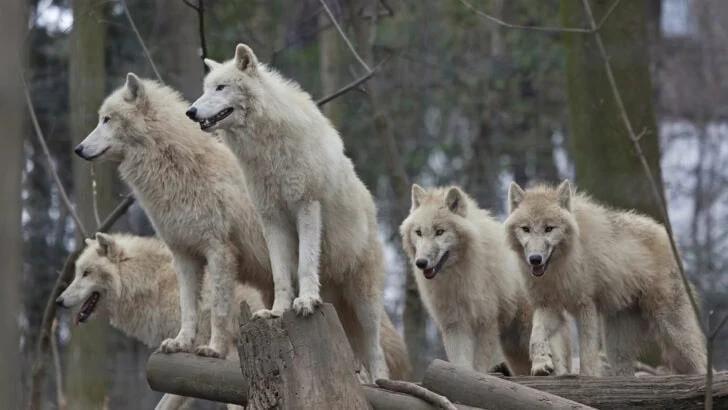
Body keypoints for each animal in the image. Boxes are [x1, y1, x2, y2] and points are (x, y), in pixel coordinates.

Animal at [57, 233, 411, 409]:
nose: (59, 301)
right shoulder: (186, 370)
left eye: (86, 273)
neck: (156, 284)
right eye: (77, 273)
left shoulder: (223, 362)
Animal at [74, 73, 273, 359]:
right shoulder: (183, 254)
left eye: (107, 119)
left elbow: (218, 309)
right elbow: (187, 307)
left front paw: (213, 348)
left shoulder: (219, 251)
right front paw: (180, 343)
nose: (78, 149)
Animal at [186, 44, 389, 379]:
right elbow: (281, 273)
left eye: (221, 87)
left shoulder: (306, 206)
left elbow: (305, 264)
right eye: (204, 89)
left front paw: (304, 302)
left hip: (364, 300)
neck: (266, 149)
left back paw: (382, 381)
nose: (190, 112)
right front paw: (278, 310)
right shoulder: (271, 218)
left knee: (376, 350)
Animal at [400, 185, 571, 375]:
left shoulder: (486, 323)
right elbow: (461, 362)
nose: (421, 263)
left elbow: (479, 364)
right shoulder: (454, 325)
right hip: (514, 350)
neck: (458, 275)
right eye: (418, 232)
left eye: (439, 232)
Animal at [505, 180, 706, 376]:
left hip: (672, 331)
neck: (559, 267)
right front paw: (541, 364)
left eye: (549, 228)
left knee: (699, 364)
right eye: (526, 229)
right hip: (616, 347)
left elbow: (587, 352)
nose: (535, 259)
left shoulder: (586, 306)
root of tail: (666, 234)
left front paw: (587, 377)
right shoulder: (548, 306)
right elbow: (536, 335)